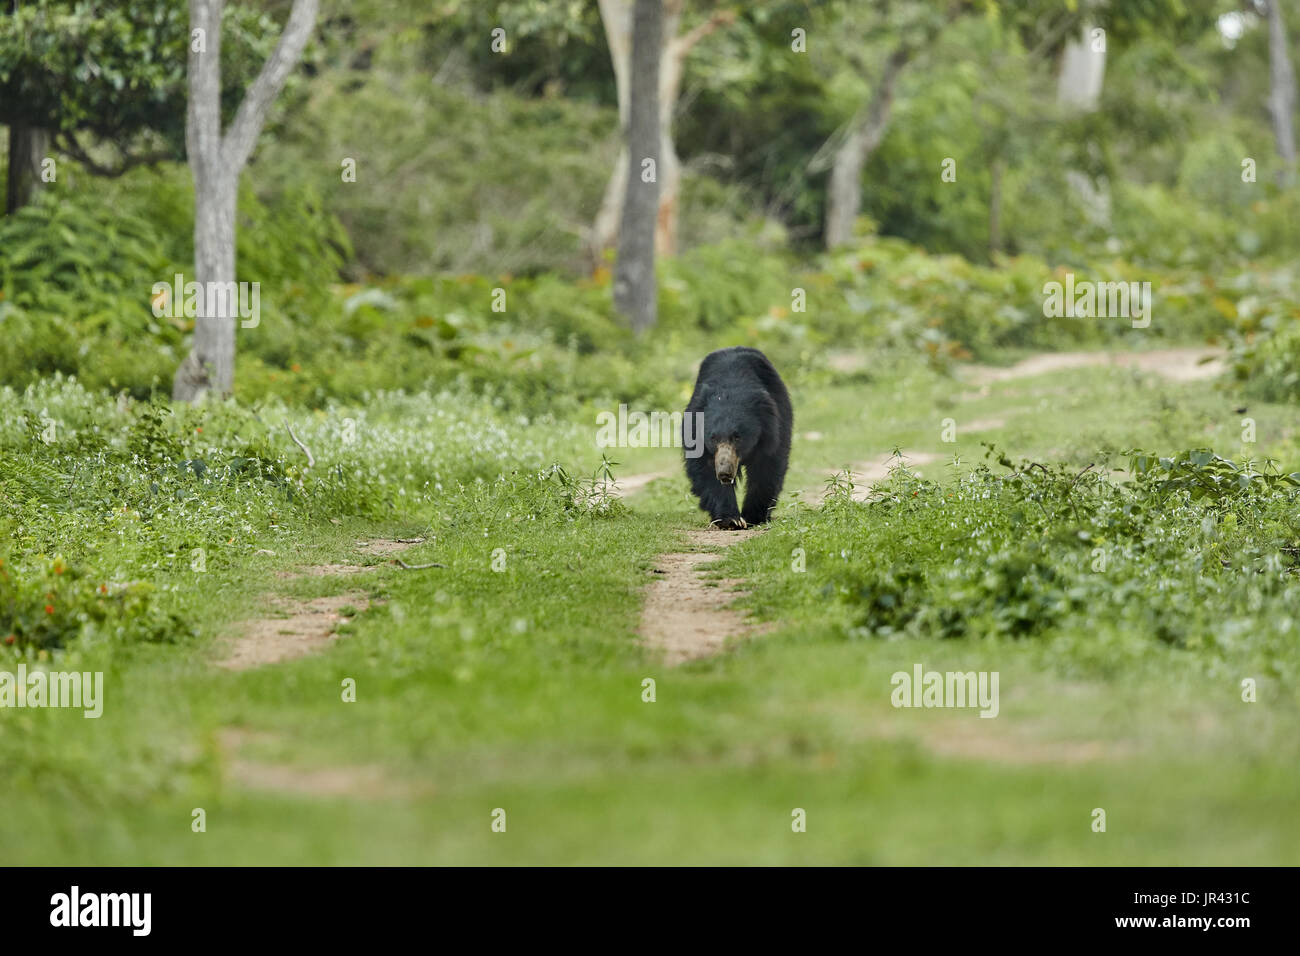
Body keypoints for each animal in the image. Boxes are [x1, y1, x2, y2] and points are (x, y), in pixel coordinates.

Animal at [683, 346, 793, 530]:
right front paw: (731, 519)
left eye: (737, 437)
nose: (724, 473)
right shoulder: (694, 430)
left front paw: (753, 516)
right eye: (713, 438)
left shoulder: (773, 428)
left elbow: (767, 467)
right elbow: (705, 469)